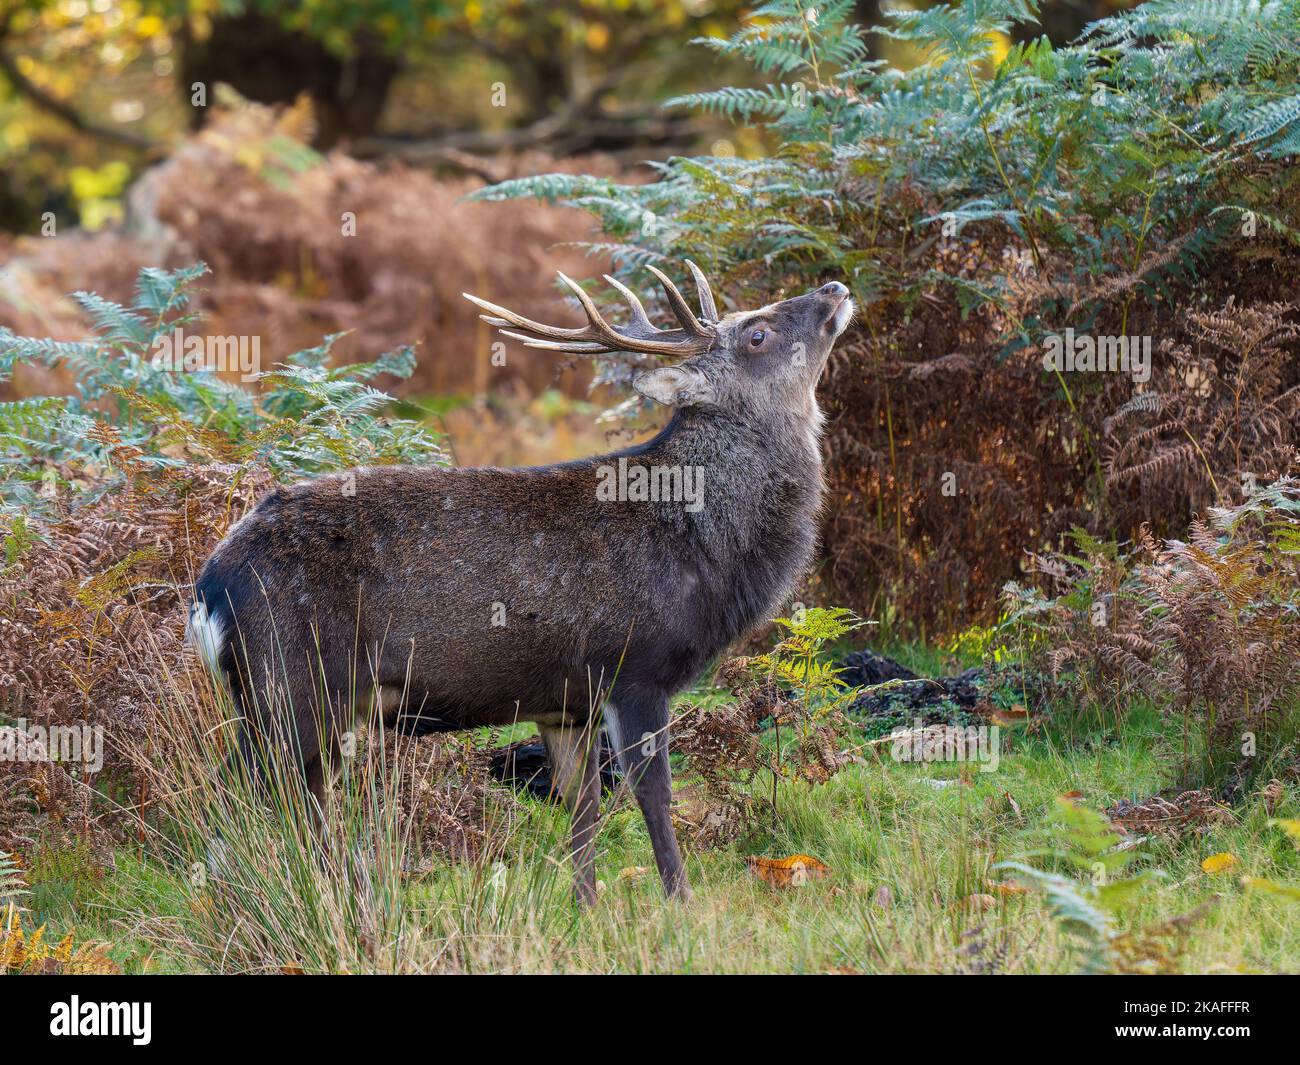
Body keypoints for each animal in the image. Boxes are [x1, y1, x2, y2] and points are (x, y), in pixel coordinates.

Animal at [187, 261, 854, 904]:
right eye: (756, 334)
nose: (834, 288)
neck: (705, 548)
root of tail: (209, 588)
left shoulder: (567, 703)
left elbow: (582, 807)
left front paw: (586, 906)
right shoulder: (635, 667)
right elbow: (653, 795)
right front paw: (680, 903)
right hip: (287, 681)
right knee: (237, 798)